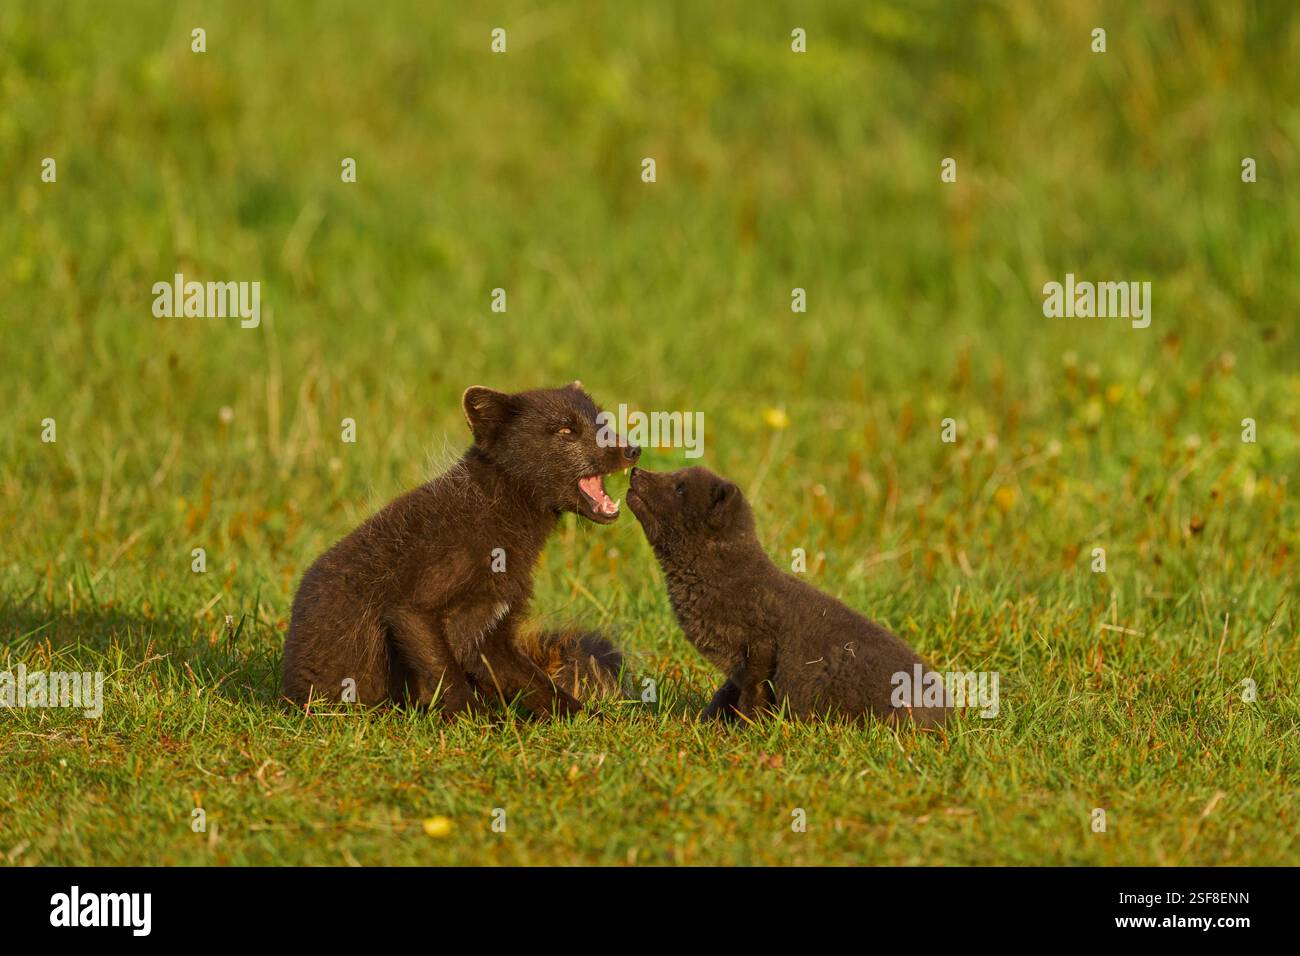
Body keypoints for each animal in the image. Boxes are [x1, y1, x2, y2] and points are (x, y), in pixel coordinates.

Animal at [282, 382, 639, 715]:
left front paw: (597, 721)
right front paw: (481, 724)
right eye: (566, 430)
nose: (633, 449)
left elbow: (541, 687)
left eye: (603, 422)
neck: (496, 509)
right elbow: (448, 678)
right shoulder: (413, 607)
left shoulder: (490, 636)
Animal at [626, 466, 949, 728]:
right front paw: (705, 724)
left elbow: (752, 696)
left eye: (680, 487)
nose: (637, 471)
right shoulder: (738, 668)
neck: (728, 579)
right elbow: (724, 695)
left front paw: (745, 732)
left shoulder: (761, 649)